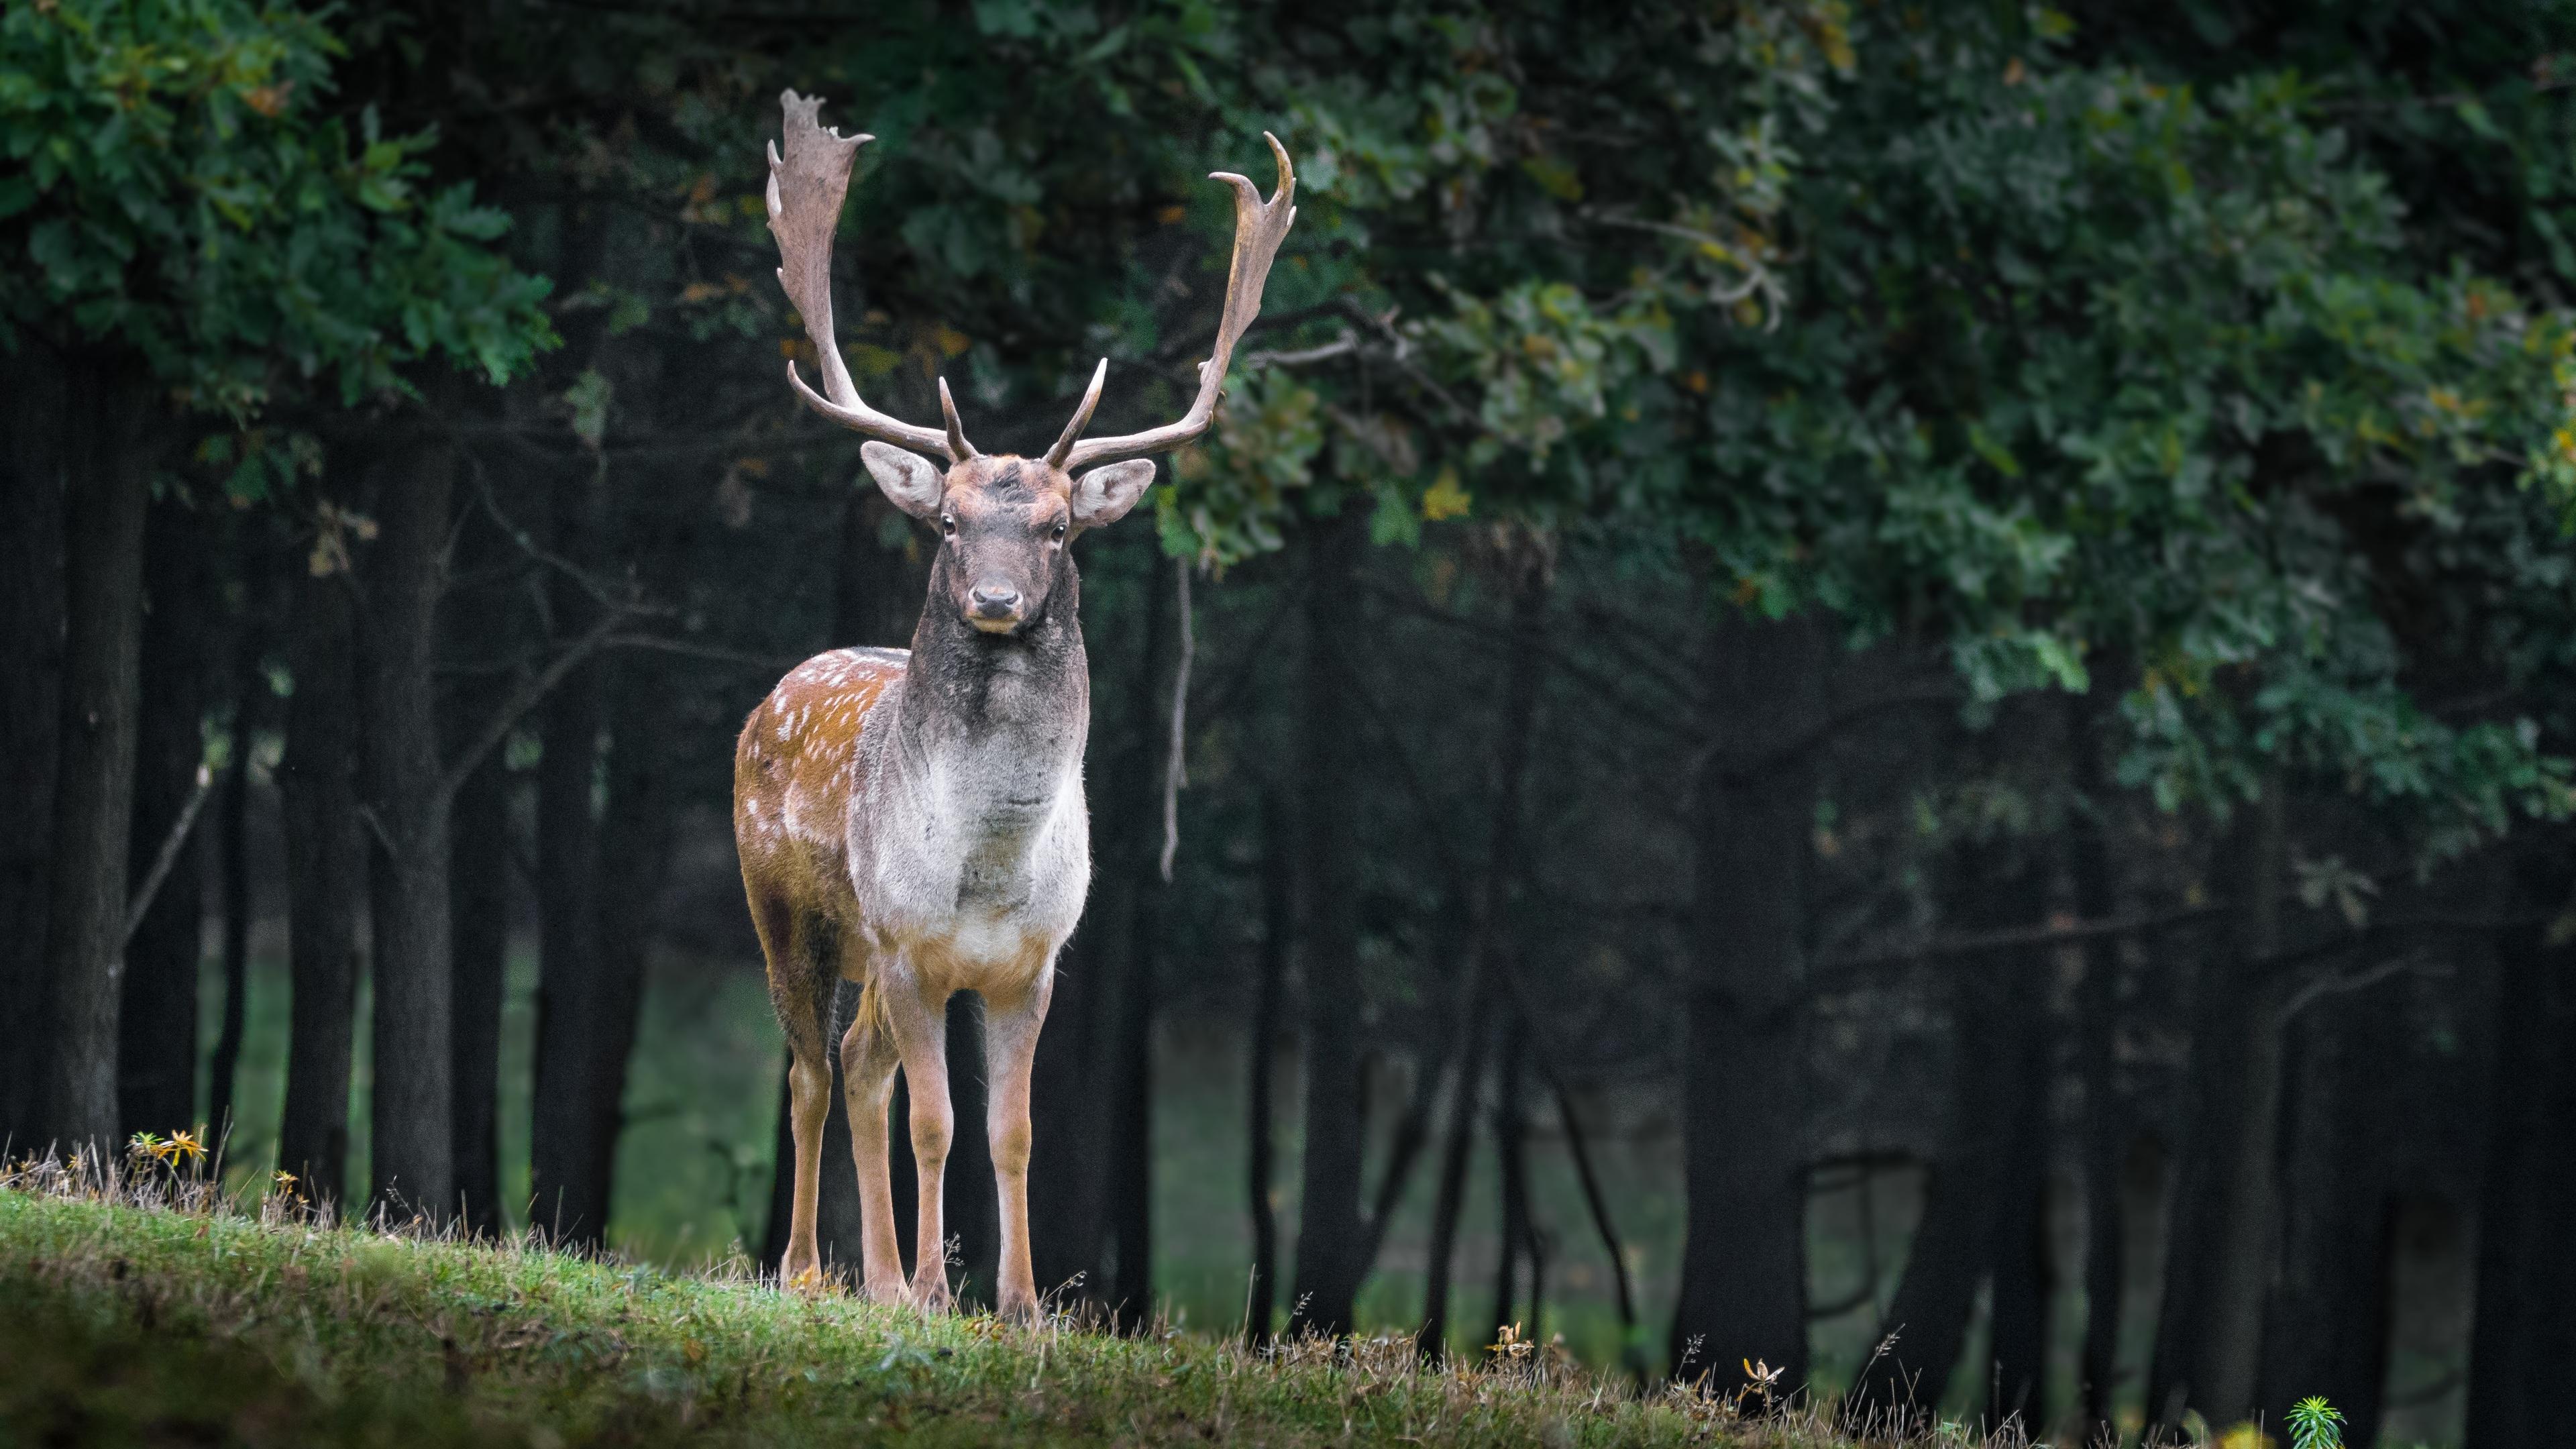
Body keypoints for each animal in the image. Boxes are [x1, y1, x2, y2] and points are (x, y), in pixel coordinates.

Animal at [734, 91, 1295, 1319]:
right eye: (948, 520)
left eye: (1058, 527)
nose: (994, 599)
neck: (988, 865)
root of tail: (773, 695)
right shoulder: (908, 946)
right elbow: (937, 1125)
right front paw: (939, 1291)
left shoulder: (1033, 964)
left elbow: (1013, 1132)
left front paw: (1022, 1302)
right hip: (787, 911)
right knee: (809, 1072)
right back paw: (808, 1271)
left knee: (856, 1071)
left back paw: (877, 1279)